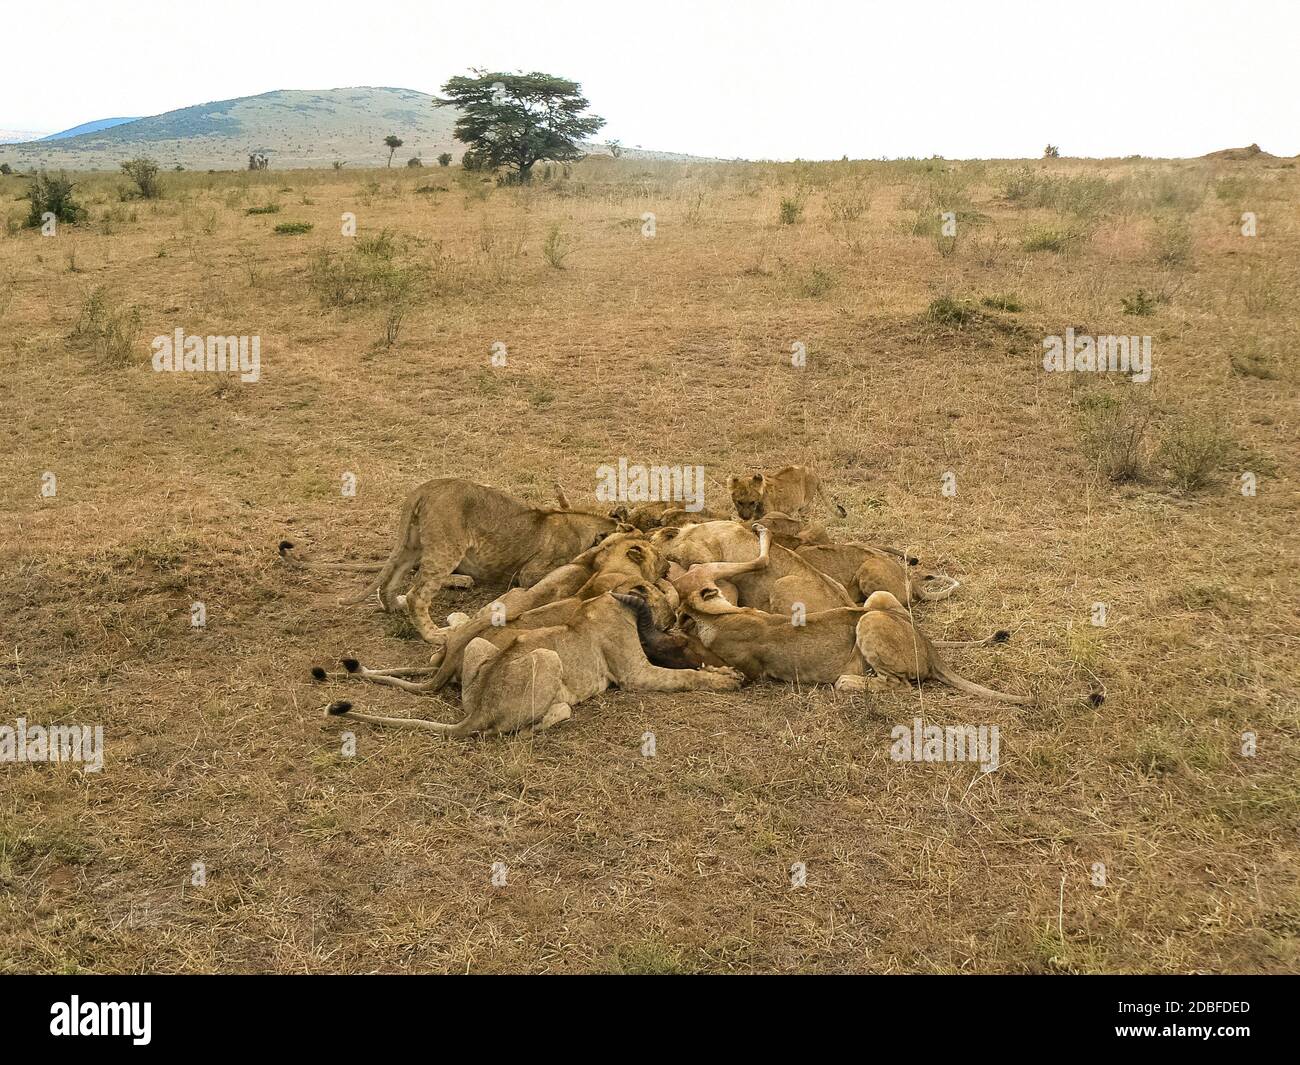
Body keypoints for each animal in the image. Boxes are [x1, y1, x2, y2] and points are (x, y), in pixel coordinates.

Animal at [325, 593, 744, 738]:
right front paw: (726, 679)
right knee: (525, 729)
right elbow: (685, 677)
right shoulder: (636, 674)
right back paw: (558, 710)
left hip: (480, 648)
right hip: (548, 656)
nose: (673, 619)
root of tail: (478, 711)